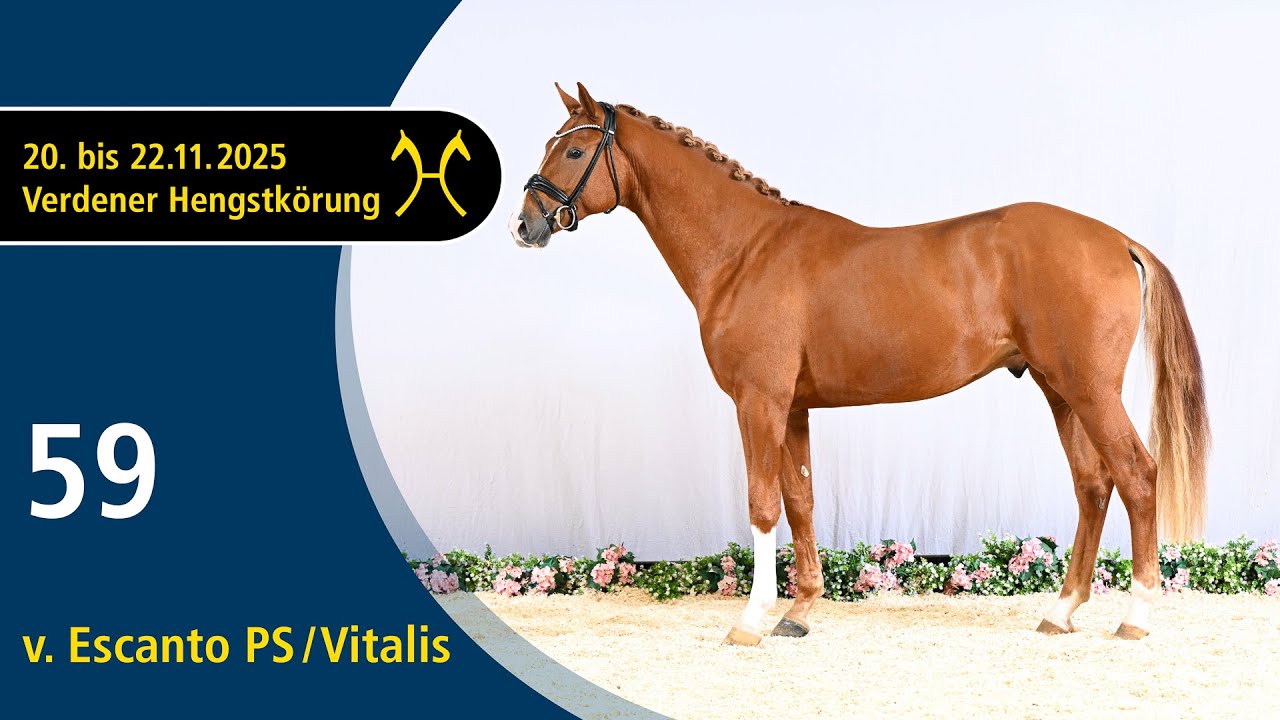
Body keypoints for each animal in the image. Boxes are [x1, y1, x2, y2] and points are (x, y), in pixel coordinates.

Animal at [511, 82, 1209, 646]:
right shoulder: (792, 408)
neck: (745, 251)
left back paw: (1135, 617)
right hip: (1059, 390)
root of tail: (1116, 240)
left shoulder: (758, 402)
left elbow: (762, 504)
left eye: (573, 151)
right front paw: (798, 613)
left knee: (1137, 476)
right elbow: (800, 500)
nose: (525, 224)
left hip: (1091, 391)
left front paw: (749, 622)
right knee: (1093, 486)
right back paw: (1060, 612)